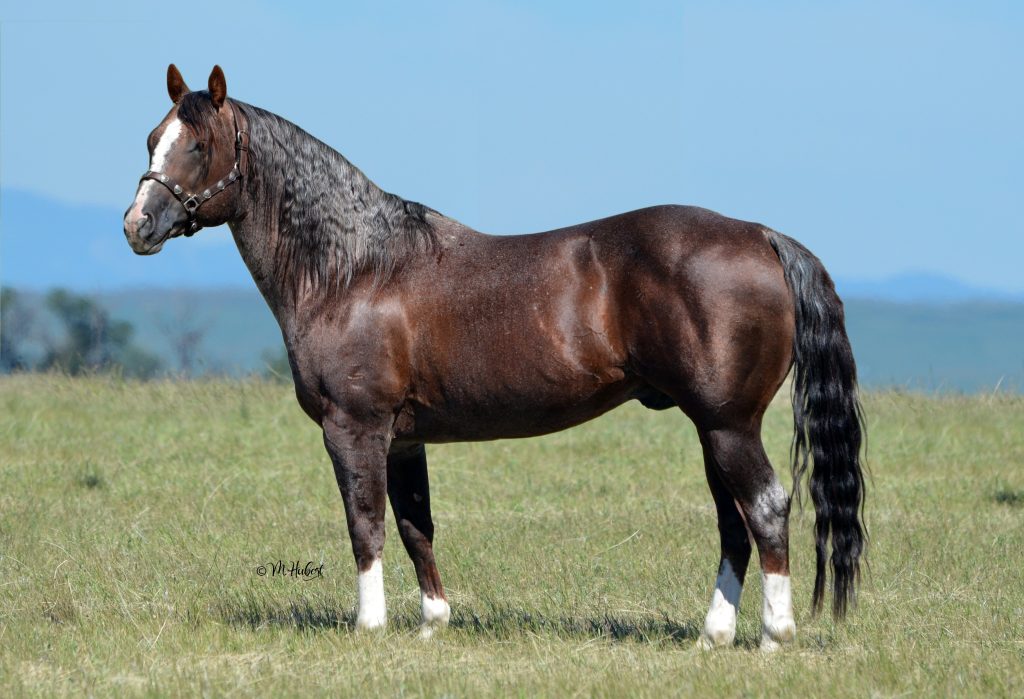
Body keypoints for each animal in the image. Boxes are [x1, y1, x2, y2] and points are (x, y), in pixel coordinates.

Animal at [124, 65, 865, 650]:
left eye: (198, 144)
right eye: (152, 138)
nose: (137, 225)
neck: (355, 268)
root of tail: (763, 236)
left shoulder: (355, 427)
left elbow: (366, 523)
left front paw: (369, 627)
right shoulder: (402, 437)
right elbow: (415, 523)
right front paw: (432, 623)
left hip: (727, 423)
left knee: (765, 507)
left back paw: (774, 635)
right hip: (712, 427)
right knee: (733, 521)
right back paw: (713, 635)